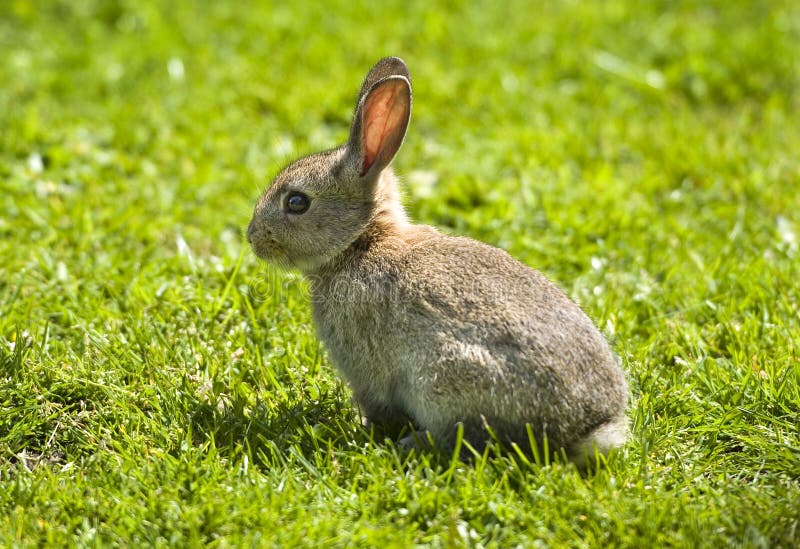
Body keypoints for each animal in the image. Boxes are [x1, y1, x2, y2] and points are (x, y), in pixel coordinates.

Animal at [247, 56, 629, 464]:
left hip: (446, 379)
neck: (361, 243)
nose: (252, 237)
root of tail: (589, 429)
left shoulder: (363, 365)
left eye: (296, 202)